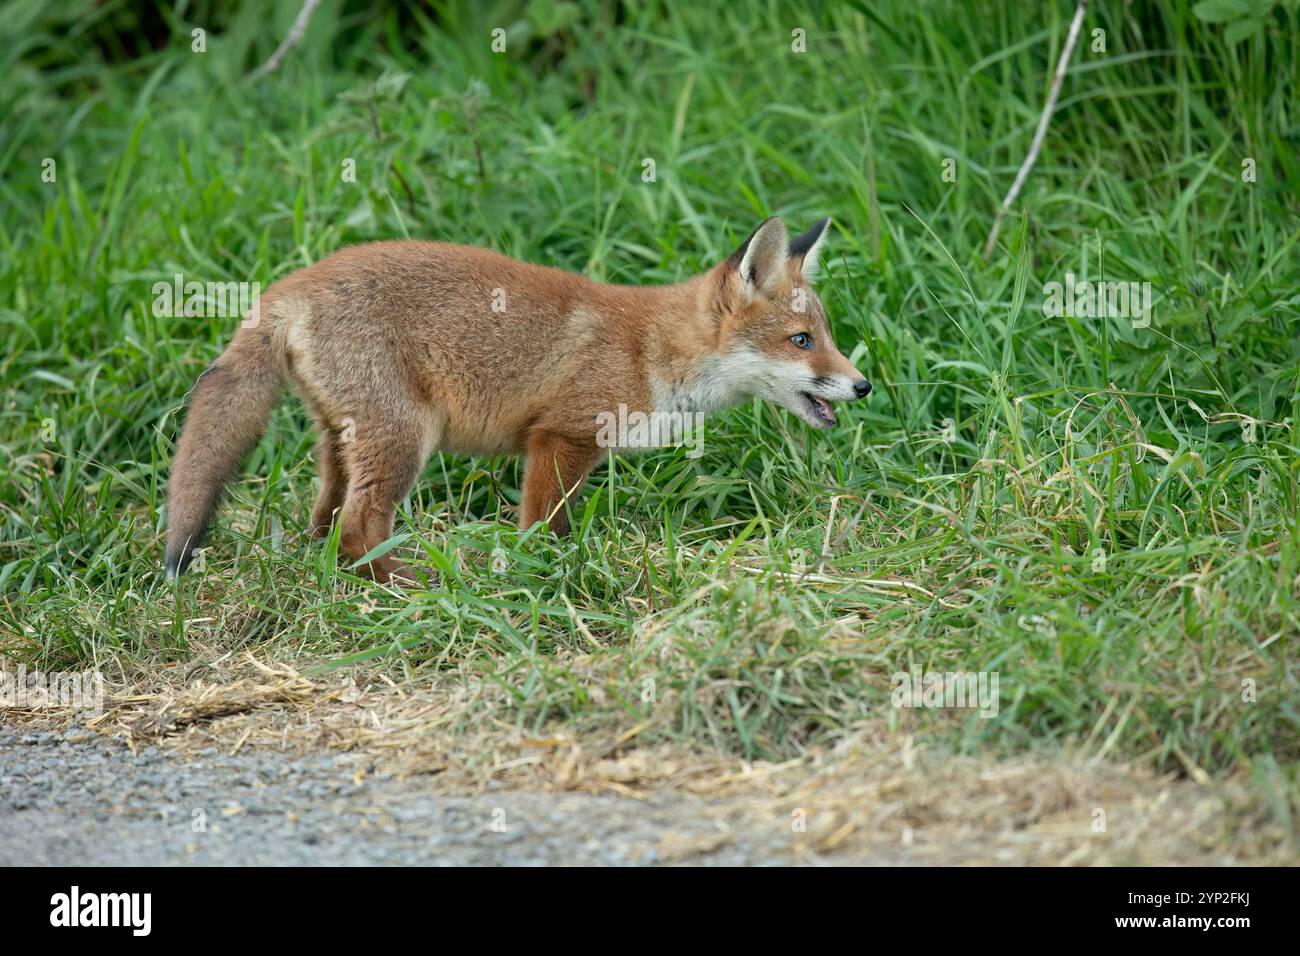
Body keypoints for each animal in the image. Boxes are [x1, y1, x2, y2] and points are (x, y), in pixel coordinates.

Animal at [164, 216, 871, 585]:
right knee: (359, 525)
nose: (863, 384)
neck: (651, 352)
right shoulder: (560, 437)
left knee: (328, 520)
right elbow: (544, 526)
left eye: (828, 338)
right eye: (803, 340)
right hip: (403, 437)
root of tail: (291, 285)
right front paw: (542, 573)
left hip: (343, 438)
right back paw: (411, 585)